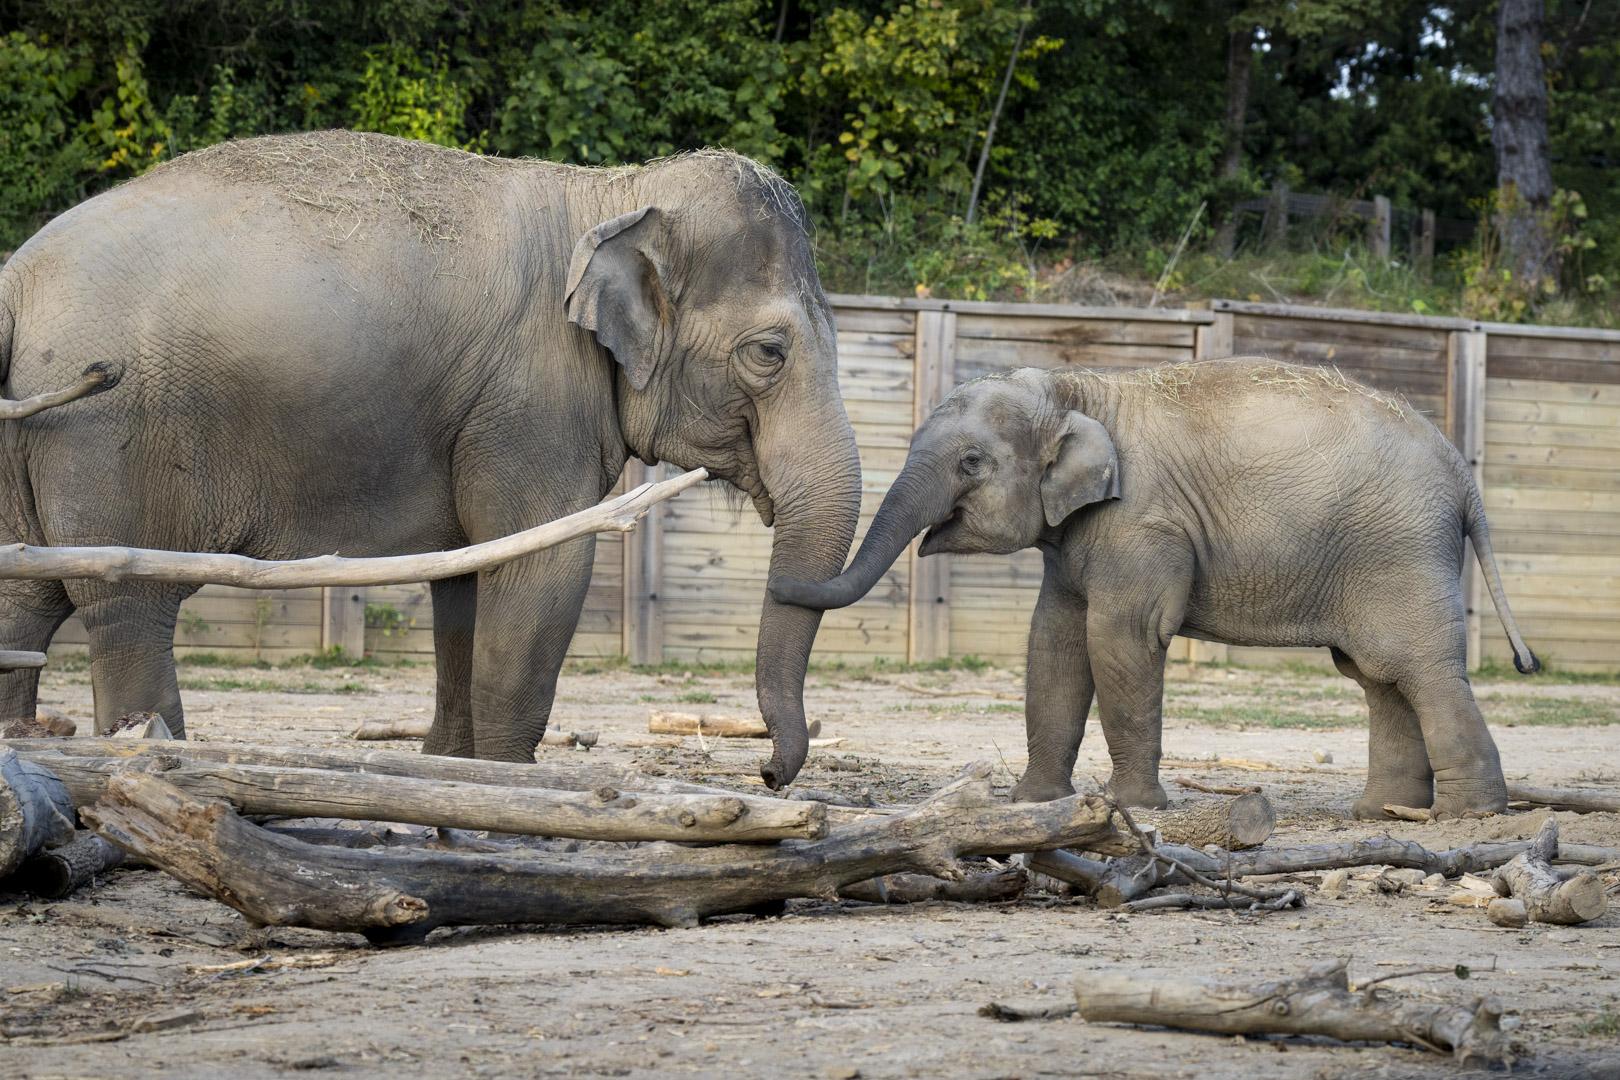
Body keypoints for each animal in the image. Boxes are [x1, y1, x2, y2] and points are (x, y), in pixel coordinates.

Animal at [0, 130, 860, 788]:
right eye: (769, 352)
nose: (767, 773)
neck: (612, 194)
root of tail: (15, 280)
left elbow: (467, 585)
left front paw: (449, 768)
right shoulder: (531, 402)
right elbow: (540, 574)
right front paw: (510, 782)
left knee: (25, 603)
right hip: (112, 439)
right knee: (127, 606)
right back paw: (162, 764)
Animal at [772, 360, 1539, 819]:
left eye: (971, 463)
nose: (772, 779)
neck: (1075, 393)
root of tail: (1462, 472)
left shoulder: (1139, 523)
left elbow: (1121, 639)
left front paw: (1135, 809)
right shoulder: (1079, 536)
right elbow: (1053, 642)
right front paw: (1034, 805)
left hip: (1400, 549)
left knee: (1420, 666)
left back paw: (1467, 817)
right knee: (1379, 675)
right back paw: (1382, 815)